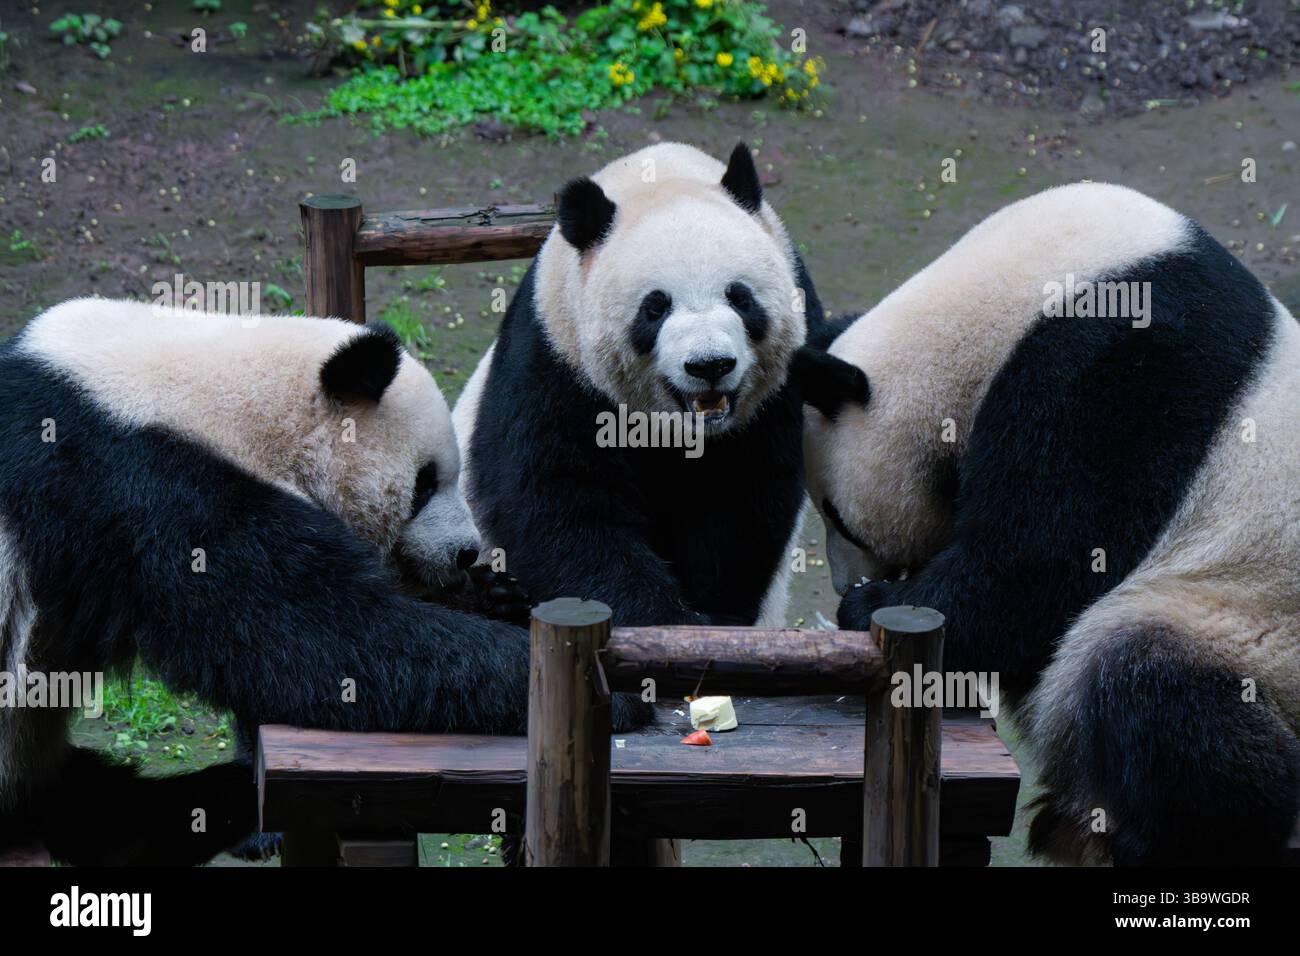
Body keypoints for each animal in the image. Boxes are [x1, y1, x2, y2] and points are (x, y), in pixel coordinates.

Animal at [0, 297, 638, 866]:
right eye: (425, 481)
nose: (464, 552)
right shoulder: (136, 486)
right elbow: (311, 637)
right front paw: (610, 697)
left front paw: (498, 596)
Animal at [453, 142, 825, 631]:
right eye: (655, 307)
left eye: (740, 297)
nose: (710, 365)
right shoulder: (555, 356)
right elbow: (555, 500)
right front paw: (664, 619)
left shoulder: (785, 381)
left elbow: (746, 503)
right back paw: (495, 597)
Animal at [792, 182, 1300, 866]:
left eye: (838, 516)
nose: (844, 584)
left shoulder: (1123, 367)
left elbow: (1040, 565)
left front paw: (877, 605)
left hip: (1248, 629)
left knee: (1153, 687)